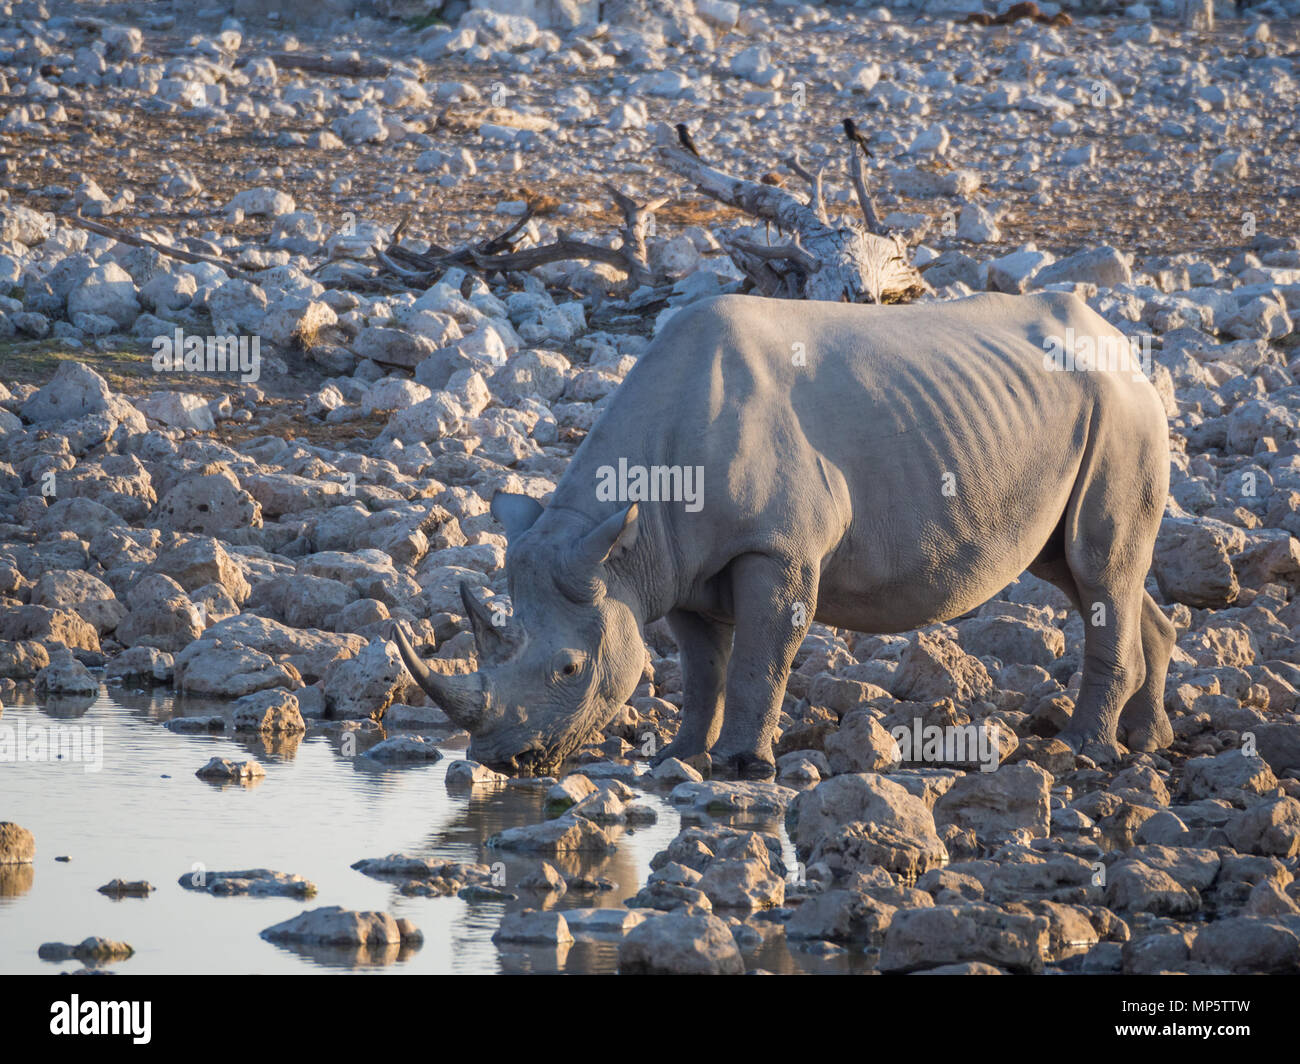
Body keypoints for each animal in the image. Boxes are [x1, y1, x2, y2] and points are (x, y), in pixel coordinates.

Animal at [395, 291, 1173, 777]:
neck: (623, 546)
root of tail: (1121, 343)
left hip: (1122, 409)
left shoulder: (776, 547)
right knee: (1083, 573)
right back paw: (1145, 739)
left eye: (568, 670)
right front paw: (679, 758)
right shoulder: (670, 562)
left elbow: (758, 661)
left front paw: (744, 766)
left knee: (1099, 568)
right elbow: (704, 665)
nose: (502, 762)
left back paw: (1085, 750)